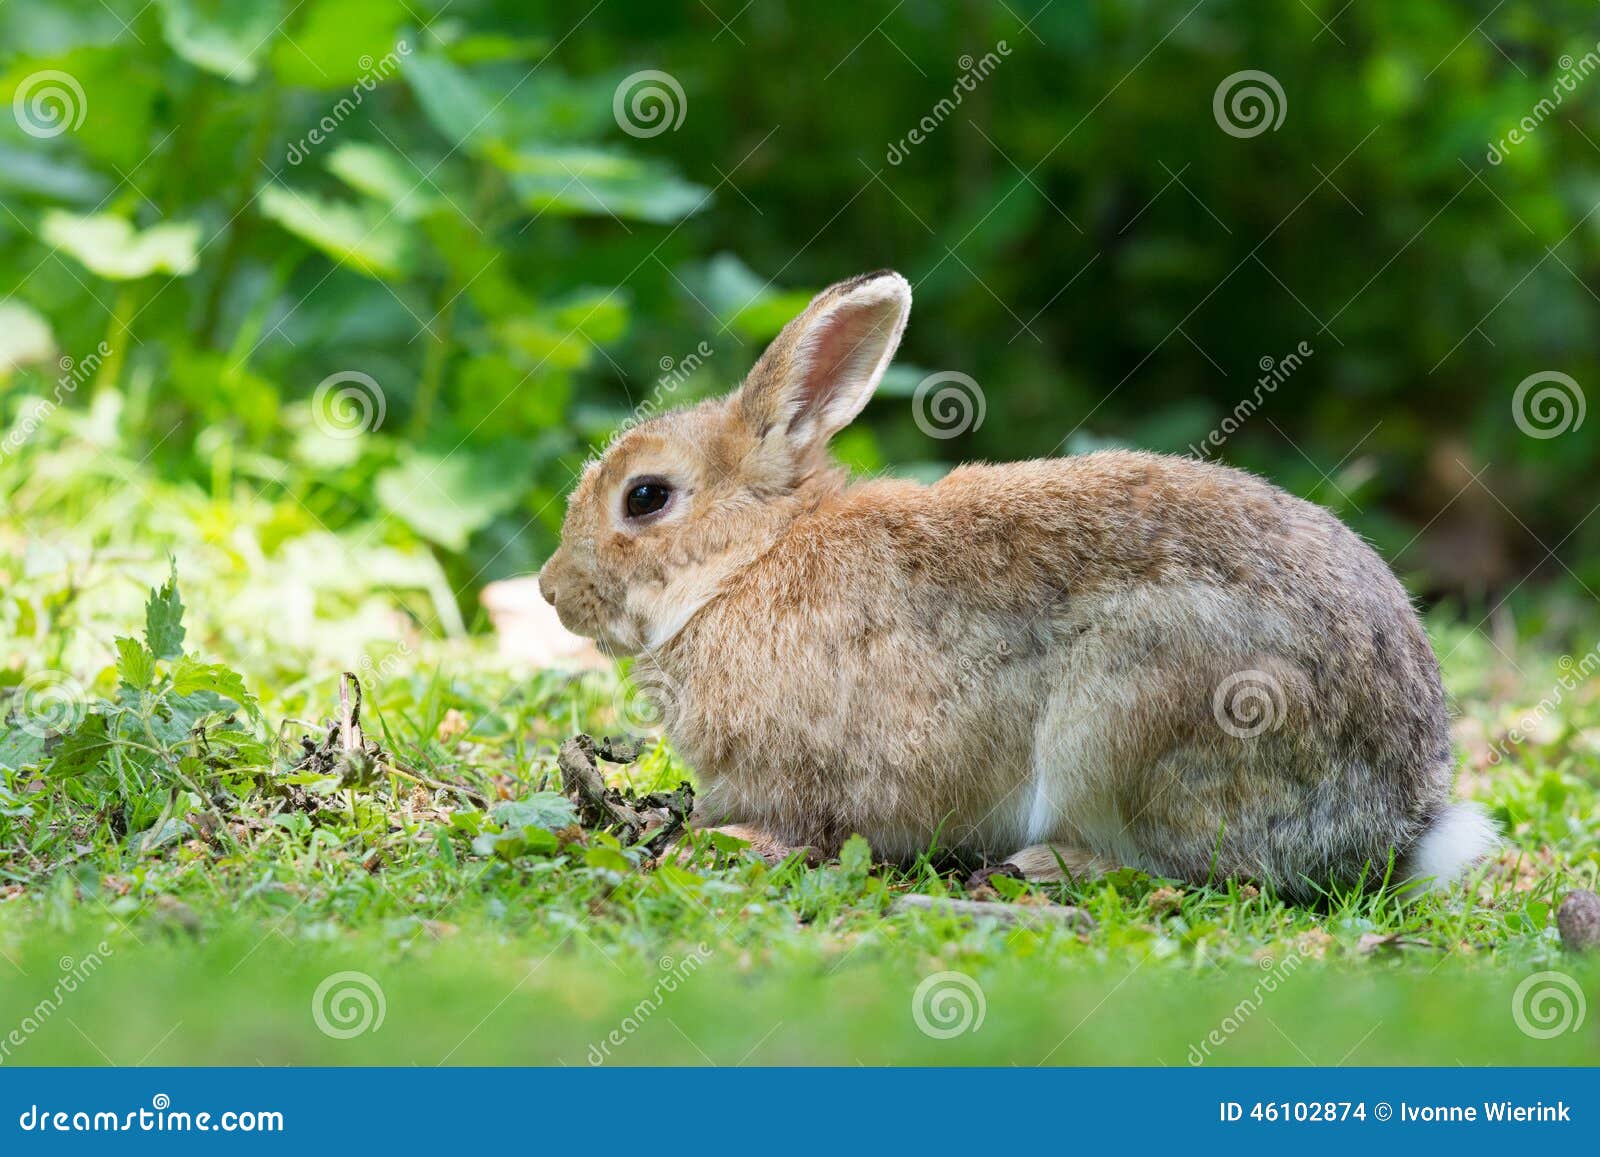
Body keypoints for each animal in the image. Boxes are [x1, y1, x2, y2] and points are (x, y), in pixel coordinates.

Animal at [537, 270, 1498, 898]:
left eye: (646, 497)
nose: (551, 590)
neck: (747, 560)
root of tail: (1395, 818)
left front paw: (721, 840)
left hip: (1141, 715)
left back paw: (1048, 864)